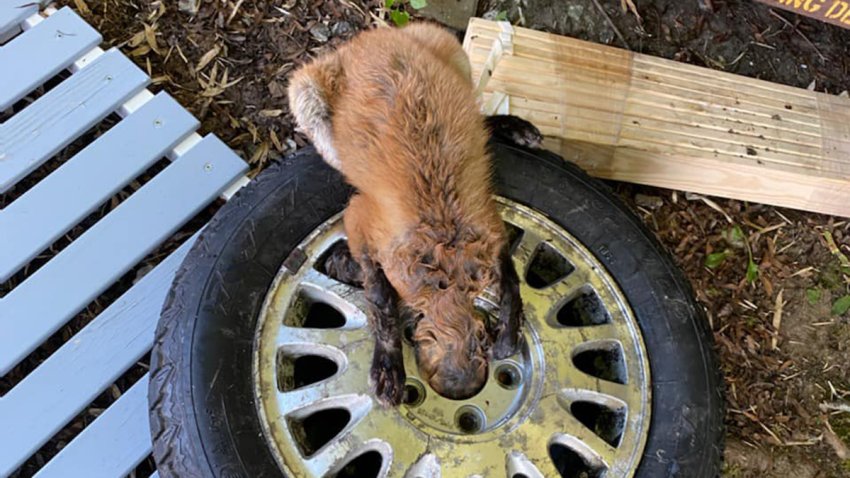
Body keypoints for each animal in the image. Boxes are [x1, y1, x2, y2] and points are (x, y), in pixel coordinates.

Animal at [287, 22, 542, 406]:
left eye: (482, 341)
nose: (463, 391)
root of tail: (367, 36)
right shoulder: (360, 217)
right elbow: (381, 299)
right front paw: (388, 367)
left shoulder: (489, 225)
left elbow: (512, 283)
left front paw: (509, 335)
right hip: (307, 98)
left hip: (450, 50)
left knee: (478, 111)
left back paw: (509, 127)